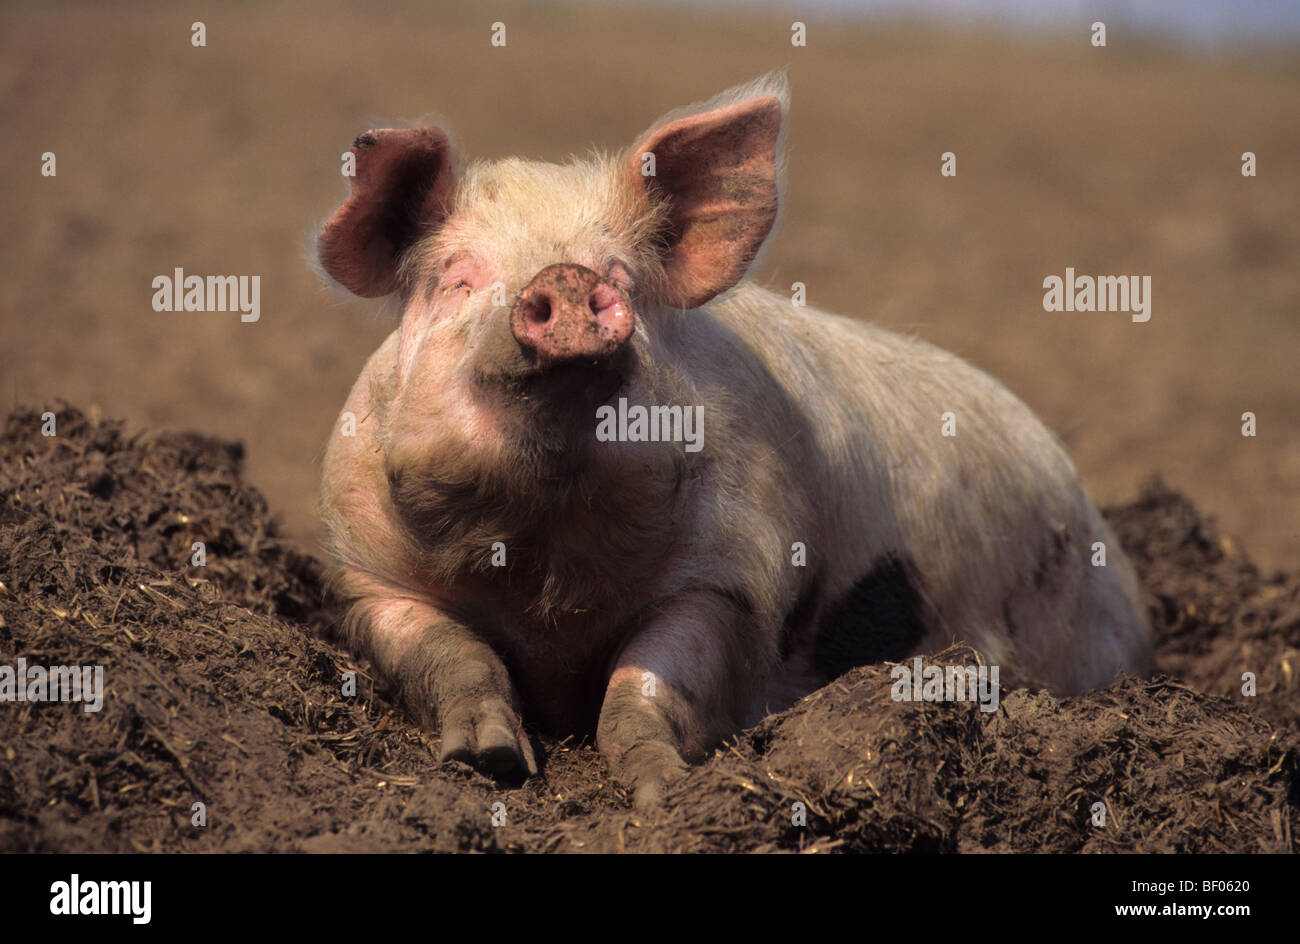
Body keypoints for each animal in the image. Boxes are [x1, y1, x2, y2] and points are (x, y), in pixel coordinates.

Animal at [316, 73, 1151, 807]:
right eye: (457, 280)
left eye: (622, 275)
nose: (568, 276)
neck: (544, 561)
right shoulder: (363, 572)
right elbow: (453, 656)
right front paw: (486, 763)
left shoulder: (738, 577)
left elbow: (647, 682)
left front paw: (664, 792)